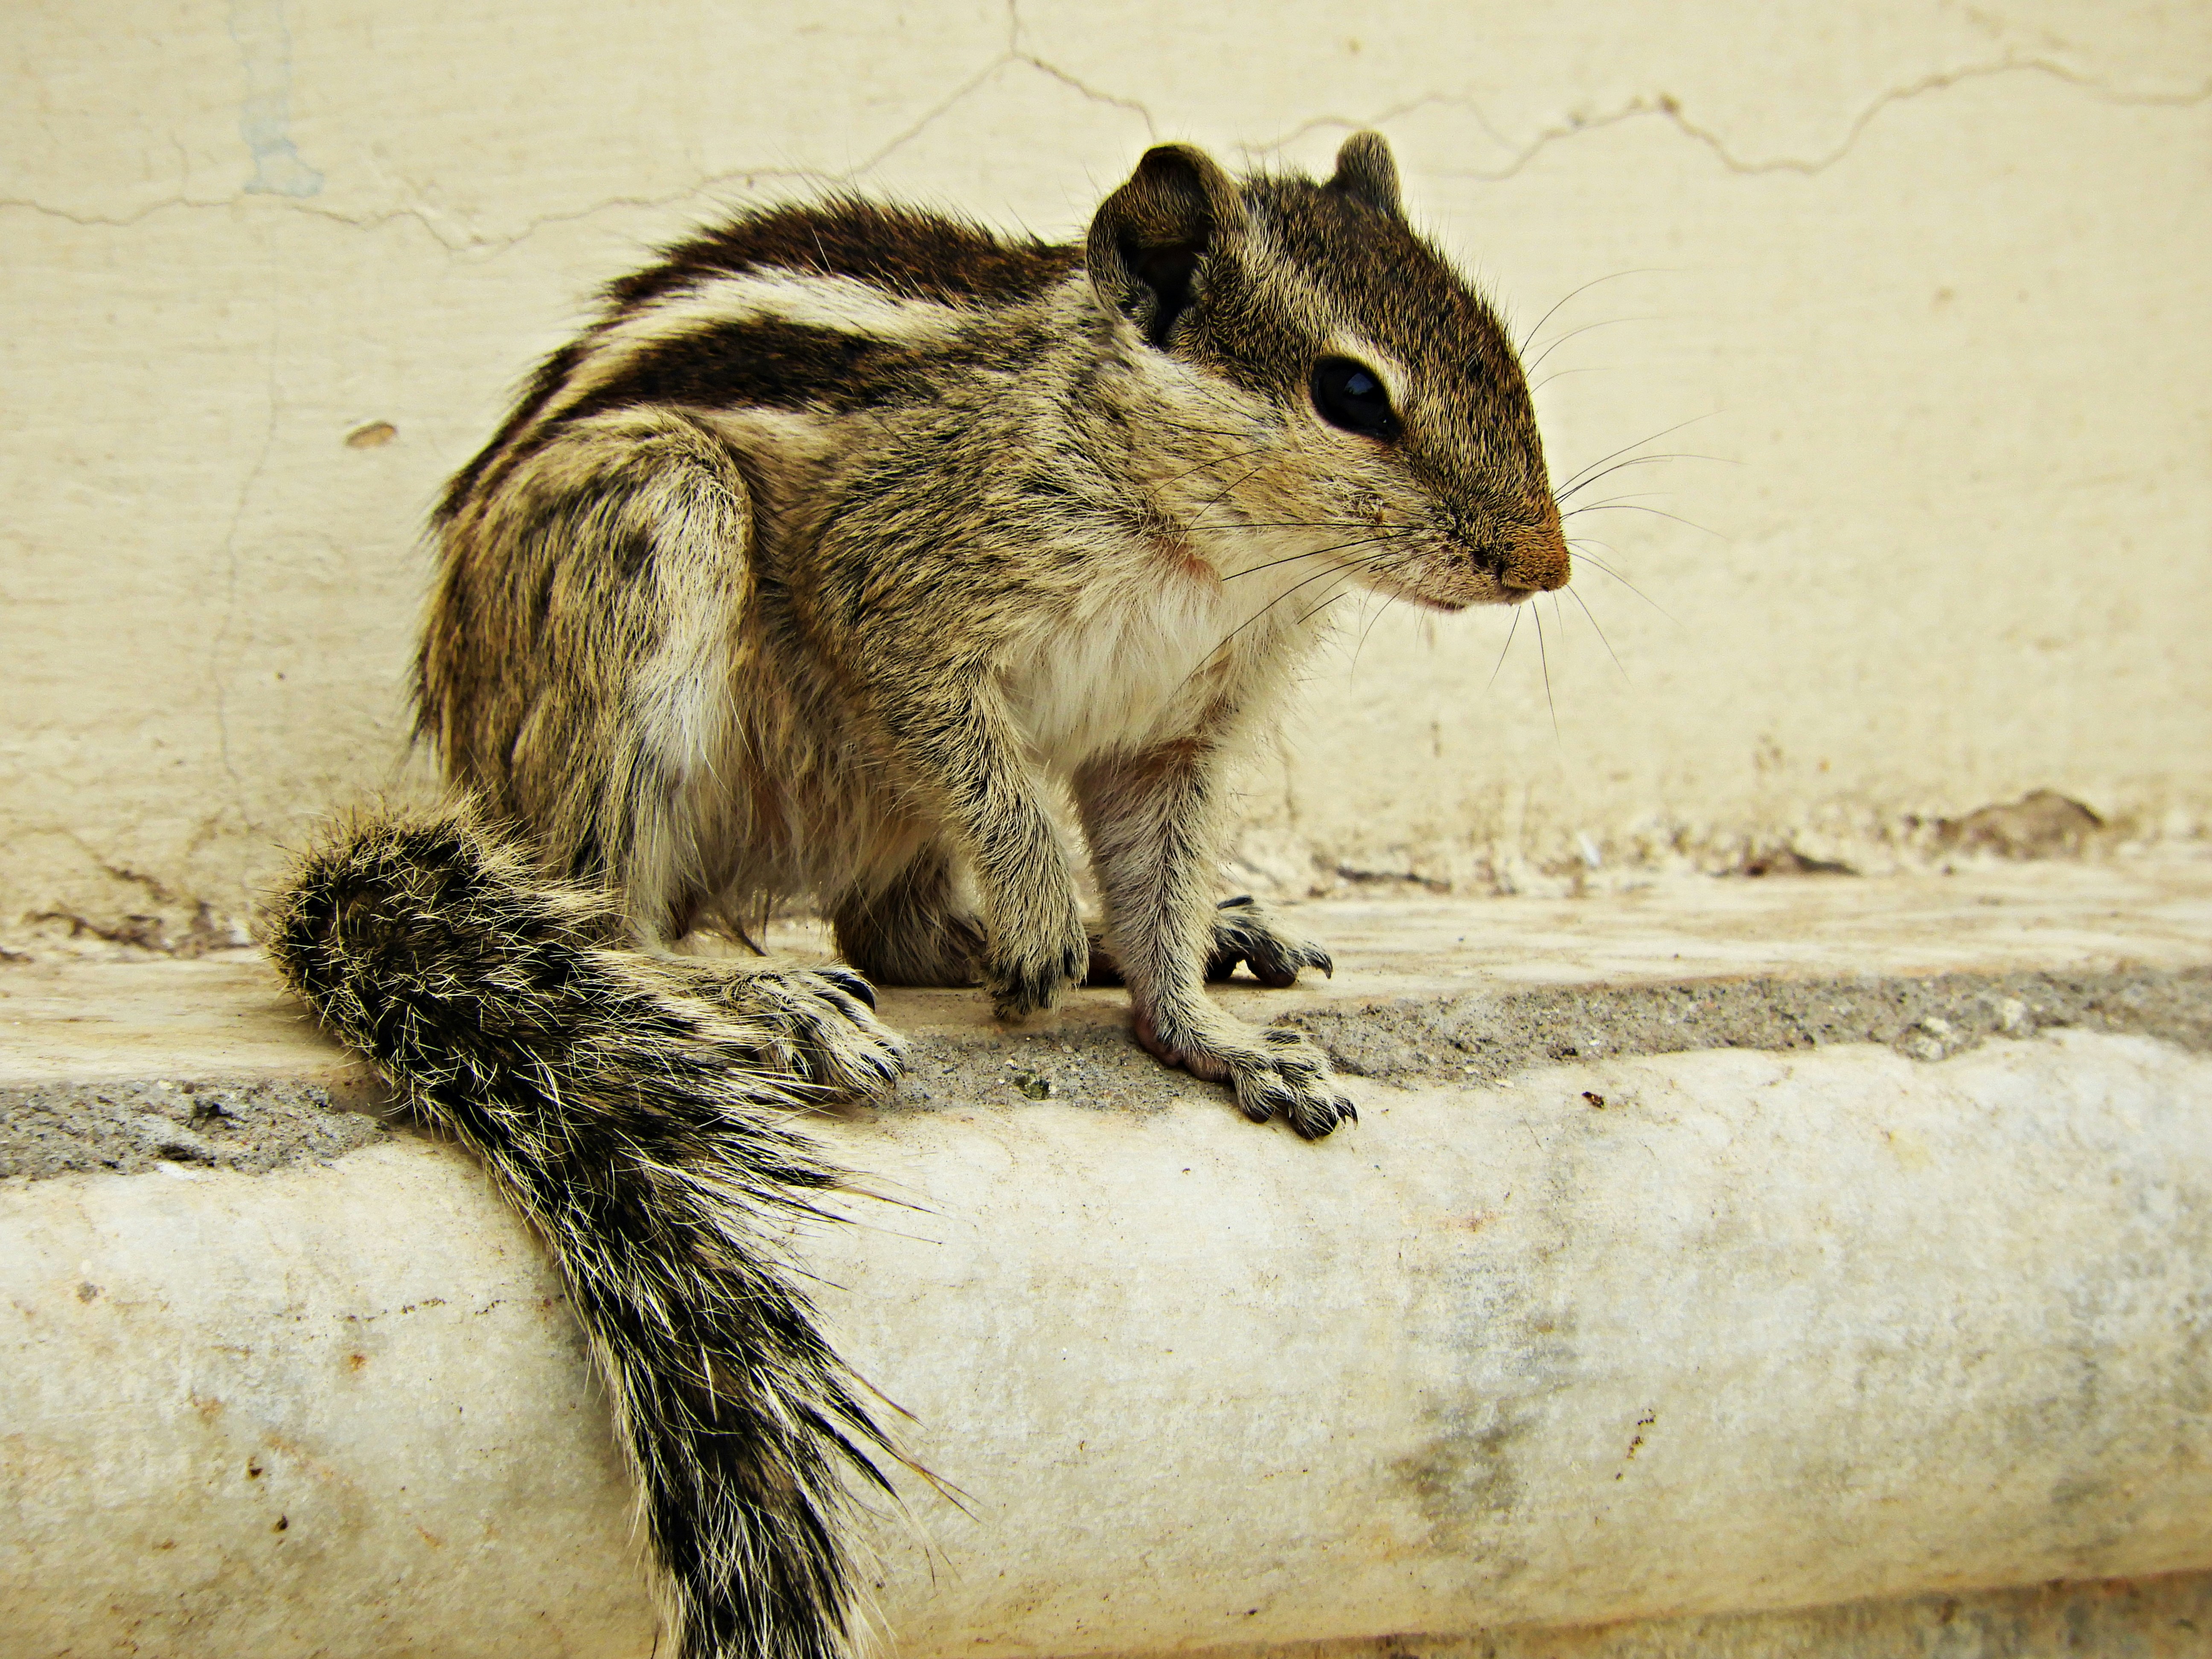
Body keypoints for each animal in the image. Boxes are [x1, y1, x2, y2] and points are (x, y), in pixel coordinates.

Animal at [267, 132, 1567, 1659]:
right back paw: (768, 990)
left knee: (891, 926)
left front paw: (1205, 1027)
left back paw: (1158, 944)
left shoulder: (1175, 736)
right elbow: (978, 760)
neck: (1210, 547)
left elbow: (1161, 879)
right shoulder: (897, 588)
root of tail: (471, 756)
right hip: (646, 534)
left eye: (1495, 346)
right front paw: (1042, 905)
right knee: (608, 906)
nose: (1543, 562)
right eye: (1352, 394)